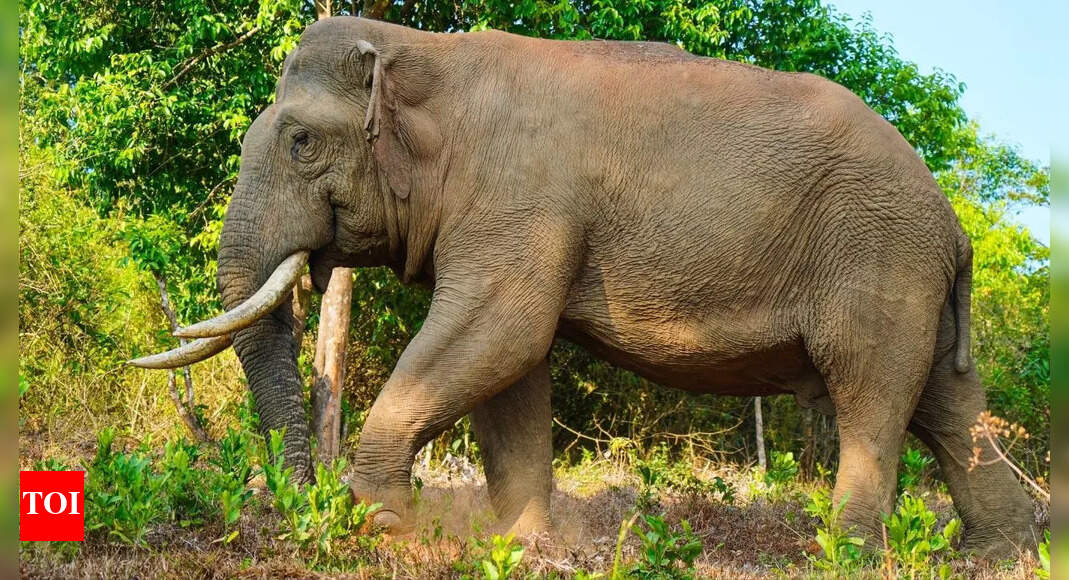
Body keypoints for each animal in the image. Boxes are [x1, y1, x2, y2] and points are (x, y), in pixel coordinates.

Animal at [132, 16, 1036, 557]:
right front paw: (524, 543)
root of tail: (954, 223)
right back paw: (996, 550)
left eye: (301, 142)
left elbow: (498, 331)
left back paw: (842, 552)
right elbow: (510, 373)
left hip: (877, 259)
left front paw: (380, 522)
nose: (300, 500)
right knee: (946, 402)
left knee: (869, 394)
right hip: (908, 276)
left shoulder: (518, 195)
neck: (427, 49)